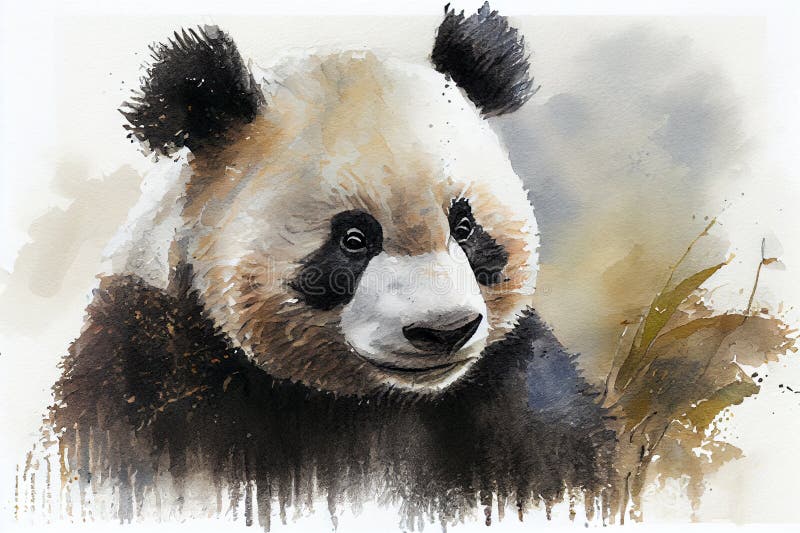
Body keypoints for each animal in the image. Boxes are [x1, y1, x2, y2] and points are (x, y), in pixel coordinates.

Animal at [51, 4, 616, 528]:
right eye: (353, 240)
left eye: (464, 226)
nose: (444, 331)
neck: (369, 403)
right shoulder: (152, 371)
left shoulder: (514, 388)